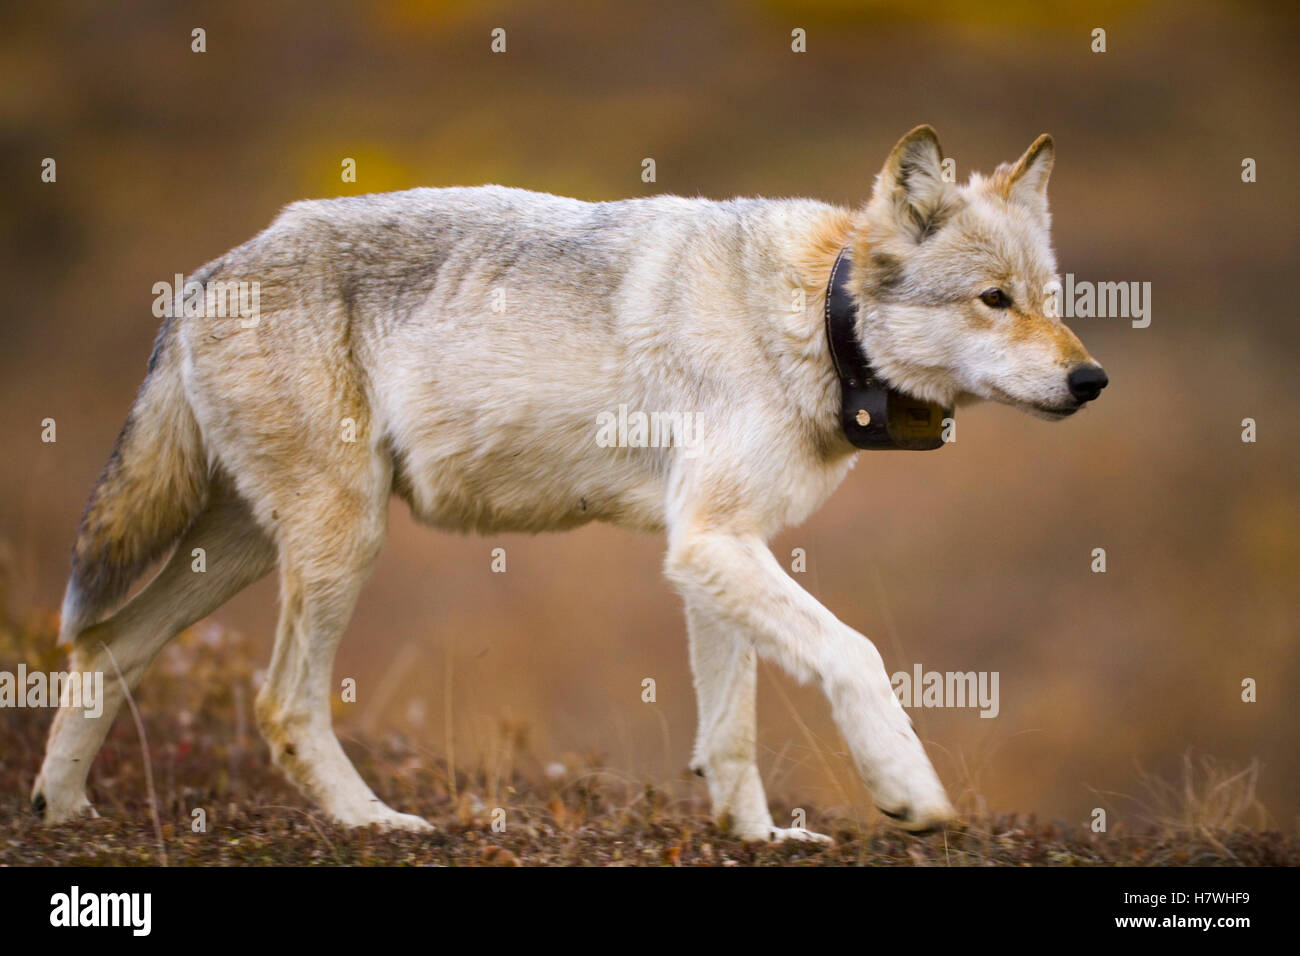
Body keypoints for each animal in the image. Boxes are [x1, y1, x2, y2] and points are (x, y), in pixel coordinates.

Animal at [33, 126, 1106, 842]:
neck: (812, 320)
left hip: (249, 548)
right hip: (340, 542)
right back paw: (379, 824)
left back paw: (62, 810)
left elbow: (732, 735)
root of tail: (206, 273)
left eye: (1051, 300)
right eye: (993, 300)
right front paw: (906, 791)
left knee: (105, 647)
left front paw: (757, 838)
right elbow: (857, 654)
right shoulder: (711, 543)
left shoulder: (710, 552)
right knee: (280, 707)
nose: (1092, 380)